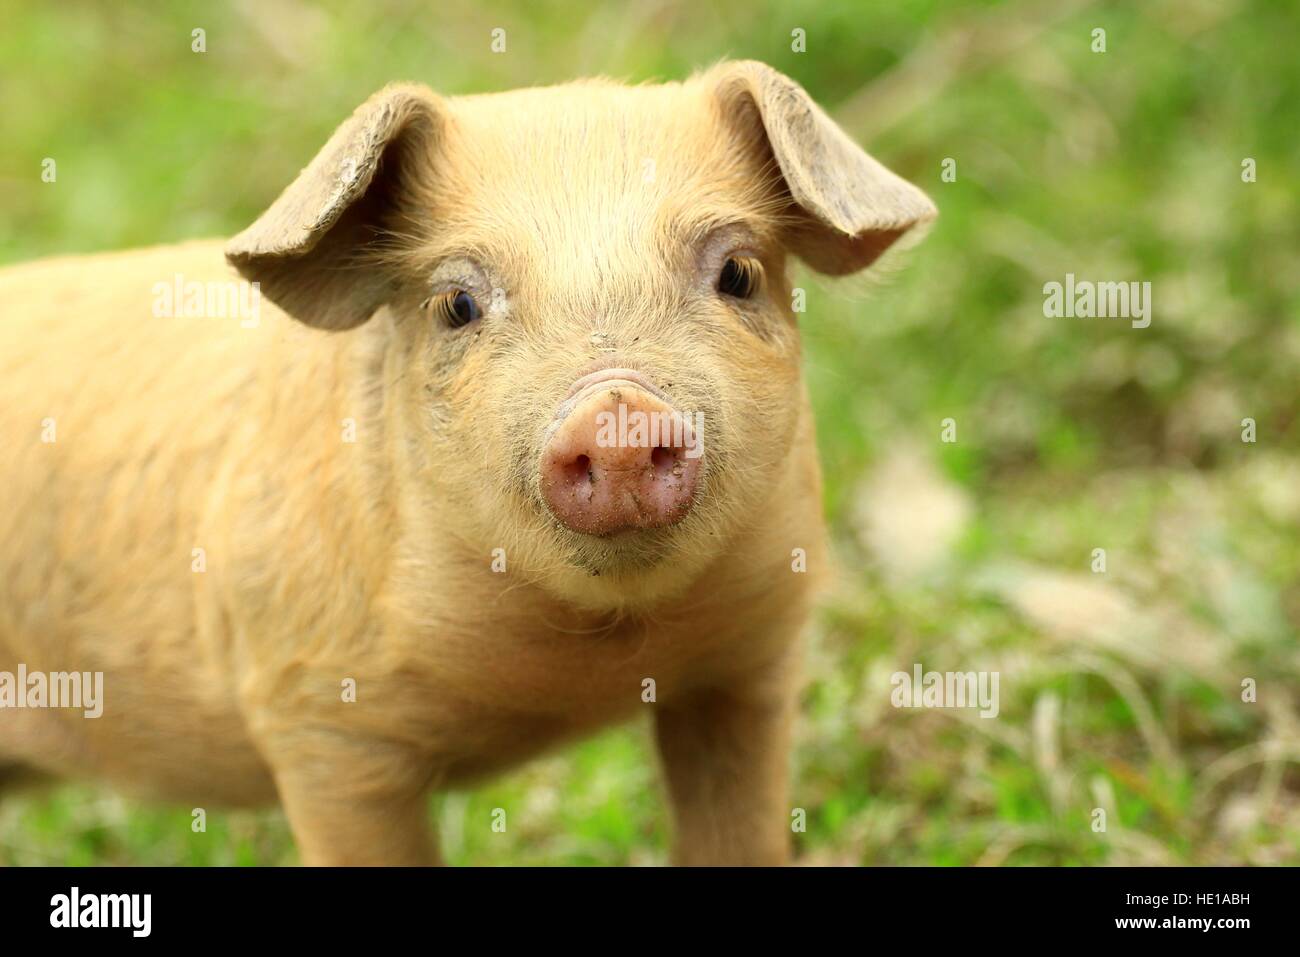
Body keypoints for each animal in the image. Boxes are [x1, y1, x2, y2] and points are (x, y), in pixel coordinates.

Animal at [0, 60, 935, 865]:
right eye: (456, 303)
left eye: (738, 271)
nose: (616, 408)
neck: (588, 661)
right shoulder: (317, 717)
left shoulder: (751, 659)